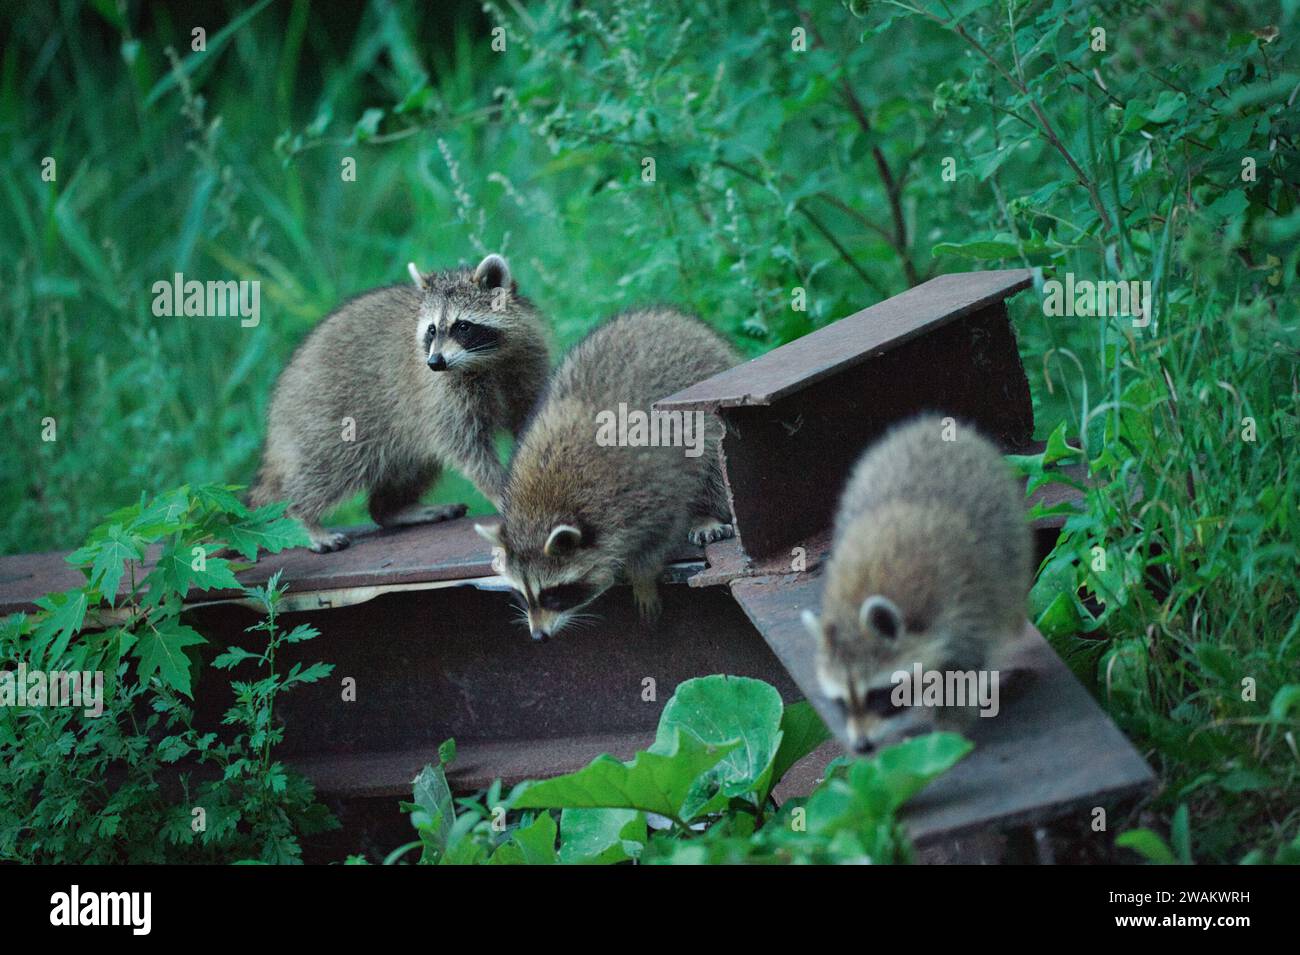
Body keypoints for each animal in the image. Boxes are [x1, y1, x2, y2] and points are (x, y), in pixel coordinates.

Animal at [250, 253, 549, 552]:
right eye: (431, 331)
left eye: (463, 326)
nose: (435, 362)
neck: (484, 361)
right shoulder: (440, 395)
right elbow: (467, 448)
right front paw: (499, 490)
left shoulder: (526, 365)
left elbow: (531, 422)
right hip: (325, 417)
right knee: (325, 469)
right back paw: (300, 516)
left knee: (412, 469)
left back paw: (392, 509)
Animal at [475, 308, 738, 641]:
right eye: (522, 596)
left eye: (553, 594)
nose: (539, 636)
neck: (541, 508)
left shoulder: (652, 488)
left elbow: (660, 535)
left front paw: (642, 577)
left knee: (714, 463)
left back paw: (708, 514)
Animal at [801, 415, 1031, 753]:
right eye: (842, 702)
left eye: (877, 695)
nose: (862, 746)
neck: (856, 601)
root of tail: (929, 425)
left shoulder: (962, 601)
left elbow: (963, 668)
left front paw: (950, 724)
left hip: (1006, 523)